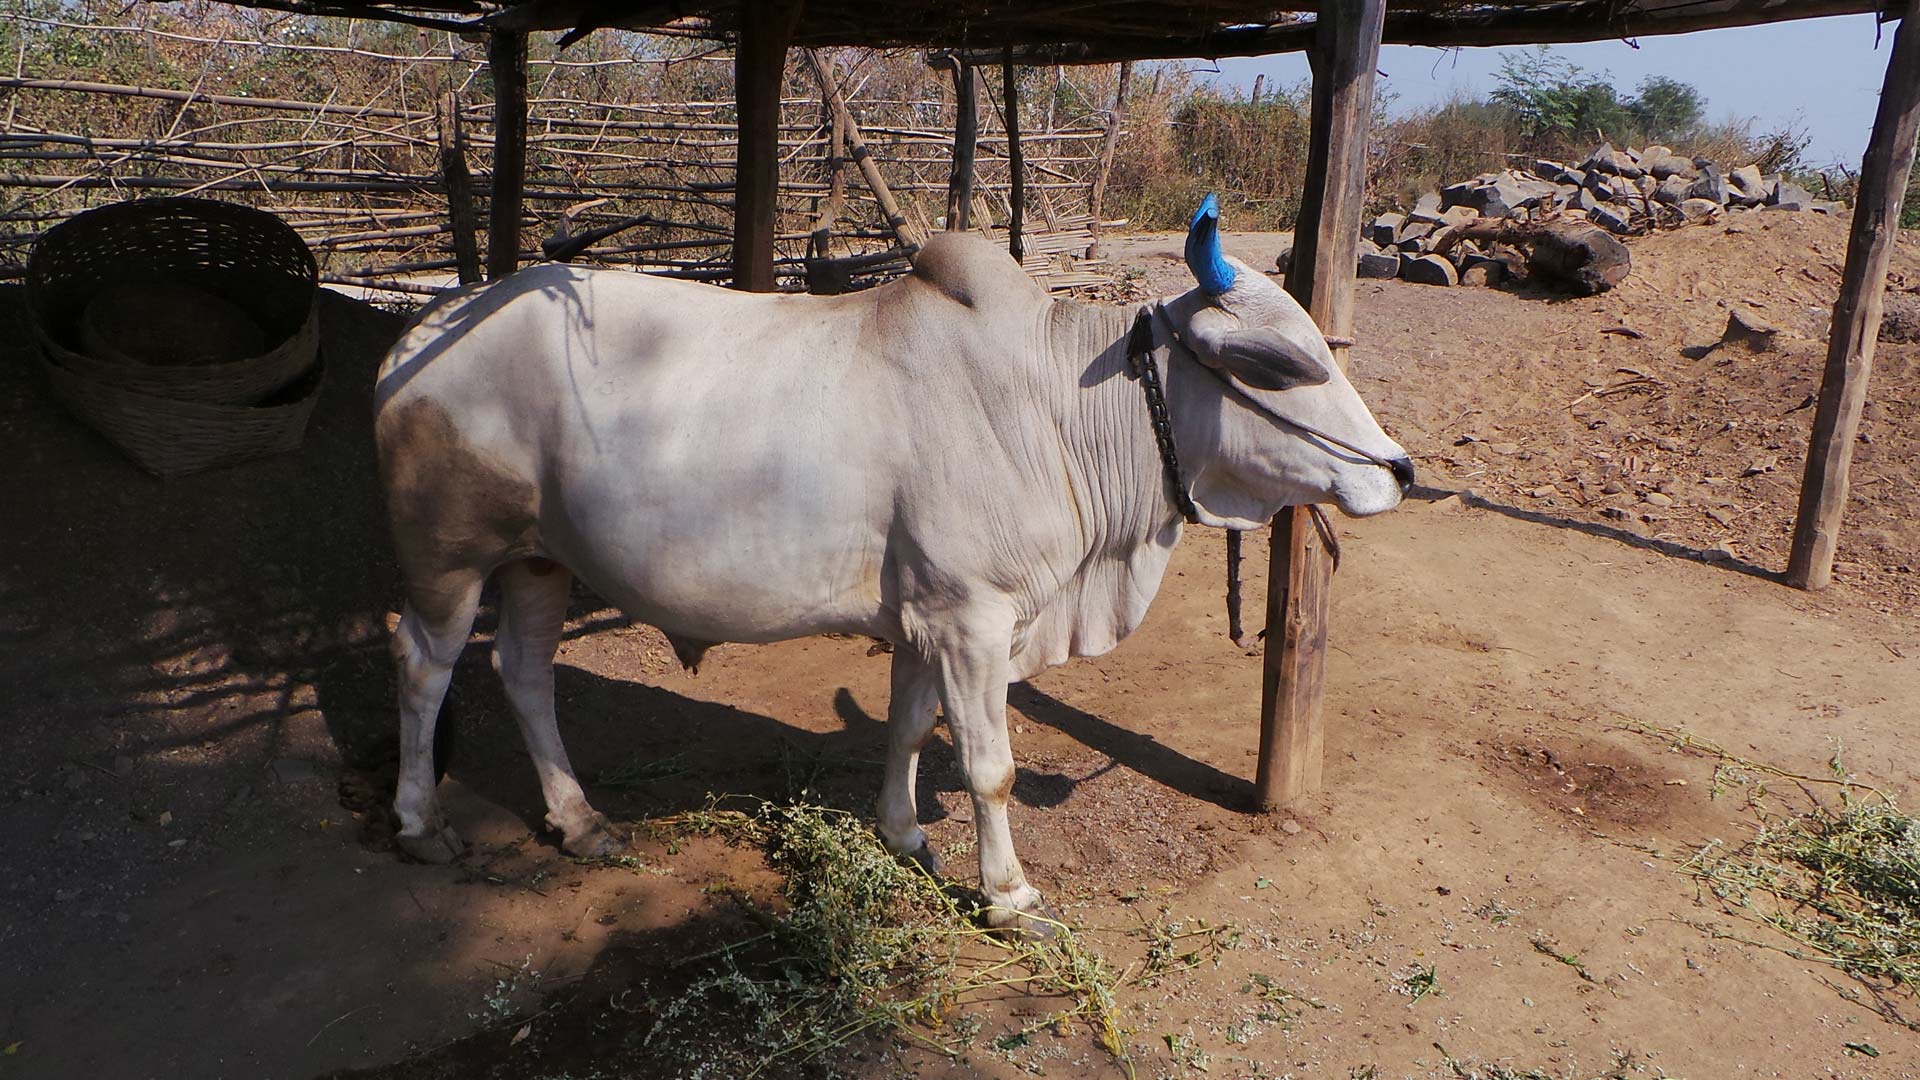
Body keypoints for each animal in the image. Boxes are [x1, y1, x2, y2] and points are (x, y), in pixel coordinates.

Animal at [374, 197, 1411, 934]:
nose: (1398, 471)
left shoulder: (928, 616)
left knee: (524, 672)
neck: (1057, 403)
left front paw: (905, 833)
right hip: (451, 557)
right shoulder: (976, 620)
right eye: (1277, 364)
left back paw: (579, 819)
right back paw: (420, 825)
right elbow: (990, 767)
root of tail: (416, 335)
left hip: (539, 560)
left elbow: (910, 728)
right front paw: (1011, 897)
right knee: (423, 668)